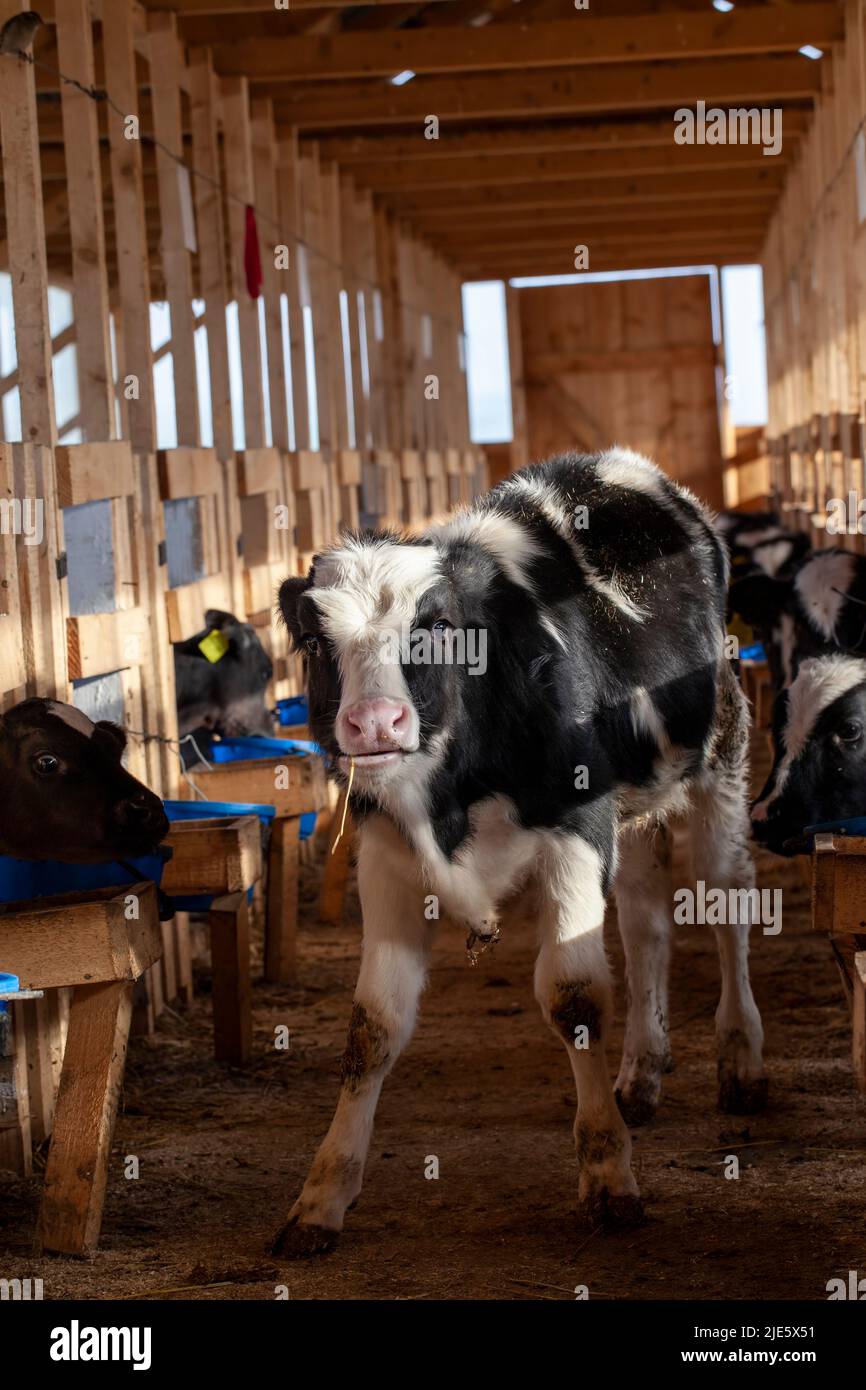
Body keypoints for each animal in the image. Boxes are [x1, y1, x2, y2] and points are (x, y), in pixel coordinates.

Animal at [275, 448, 766, 1256]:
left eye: (439, 628)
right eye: (317, 642)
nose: (373, 723)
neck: (451, 794)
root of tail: (621, 465)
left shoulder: (576, 833)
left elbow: (574, 995)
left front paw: (608, 1176)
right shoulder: (386, 861)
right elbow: (373, 1027)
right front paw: (320, 1196)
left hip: (719, 759)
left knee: (725, 905)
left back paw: (741, 1060)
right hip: (632, 813)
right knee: (646, 928)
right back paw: (642, 1074)